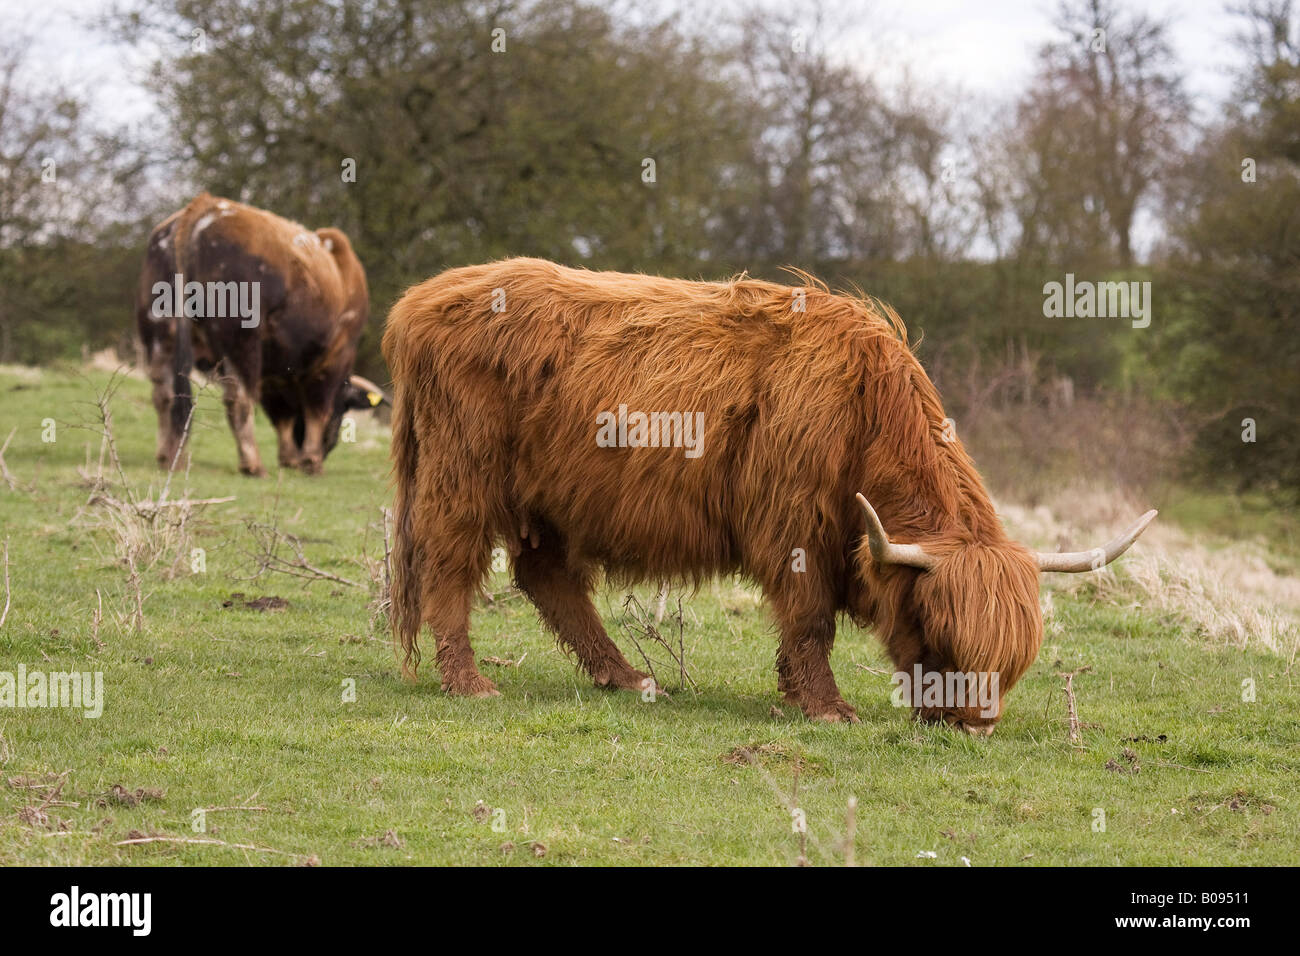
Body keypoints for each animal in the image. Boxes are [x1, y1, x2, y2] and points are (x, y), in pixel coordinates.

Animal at [136, 192, 386, 476]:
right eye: (344, 408)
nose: (326, 446)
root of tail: (204, 205)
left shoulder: (275, 373)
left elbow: (283, 417)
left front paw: (289, 458)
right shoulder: (334, 358)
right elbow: (316, 411)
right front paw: (310, 461)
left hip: (160, 334)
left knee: (163, 393)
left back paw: (169, 456)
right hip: (240, 343)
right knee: (239, 399)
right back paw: (252, 464)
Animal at [382, 258, 1155, 733]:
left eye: (1013, 659)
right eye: (940, 628)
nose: (974, 724)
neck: (865, 407)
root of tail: (423, 300)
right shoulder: (793, 525)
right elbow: (809, 620)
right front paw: (827, 707)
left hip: (547, 498)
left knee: (547, 576)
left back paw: (627, 677)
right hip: (461, 473)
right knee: (449, 567)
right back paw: (470, 683)